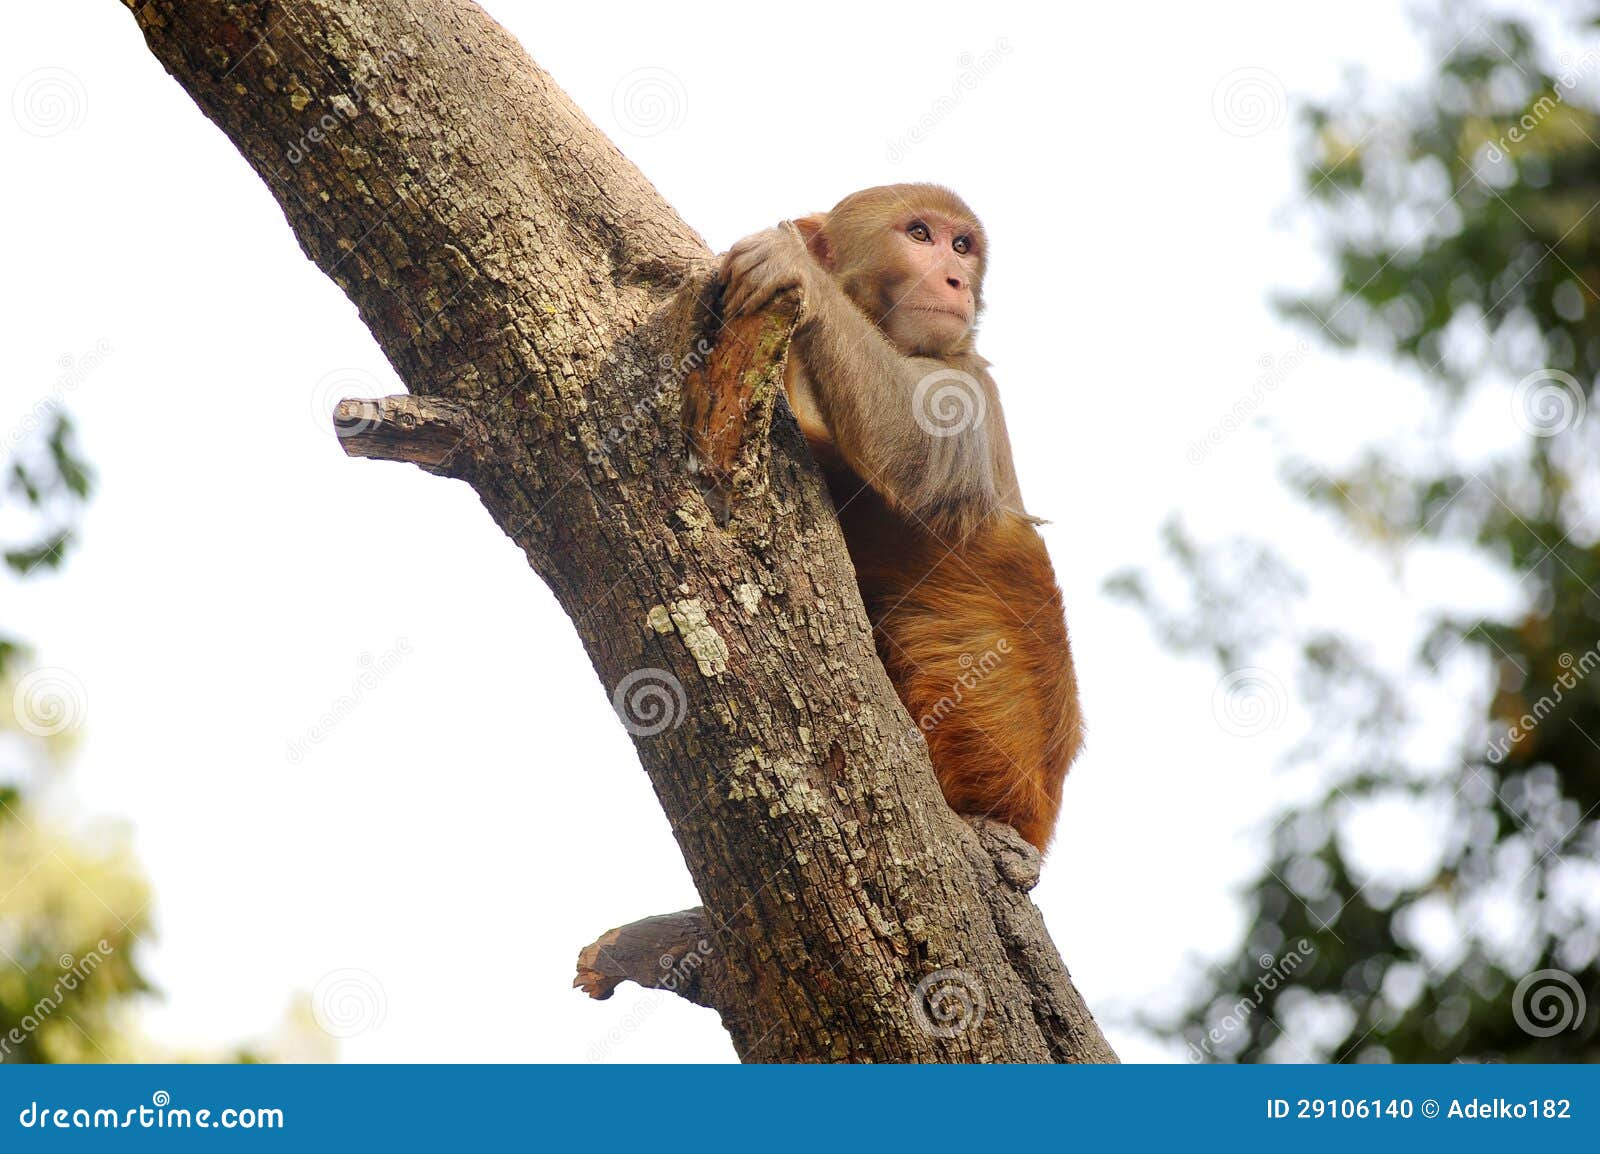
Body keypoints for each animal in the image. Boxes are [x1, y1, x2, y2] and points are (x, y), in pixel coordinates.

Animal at [718, 183, 1082, 853]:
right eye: (920, 235)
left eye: (962, 246)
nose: (956, 279)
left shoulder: (968, 385)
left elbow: (913, 454)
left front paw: (794, 267)